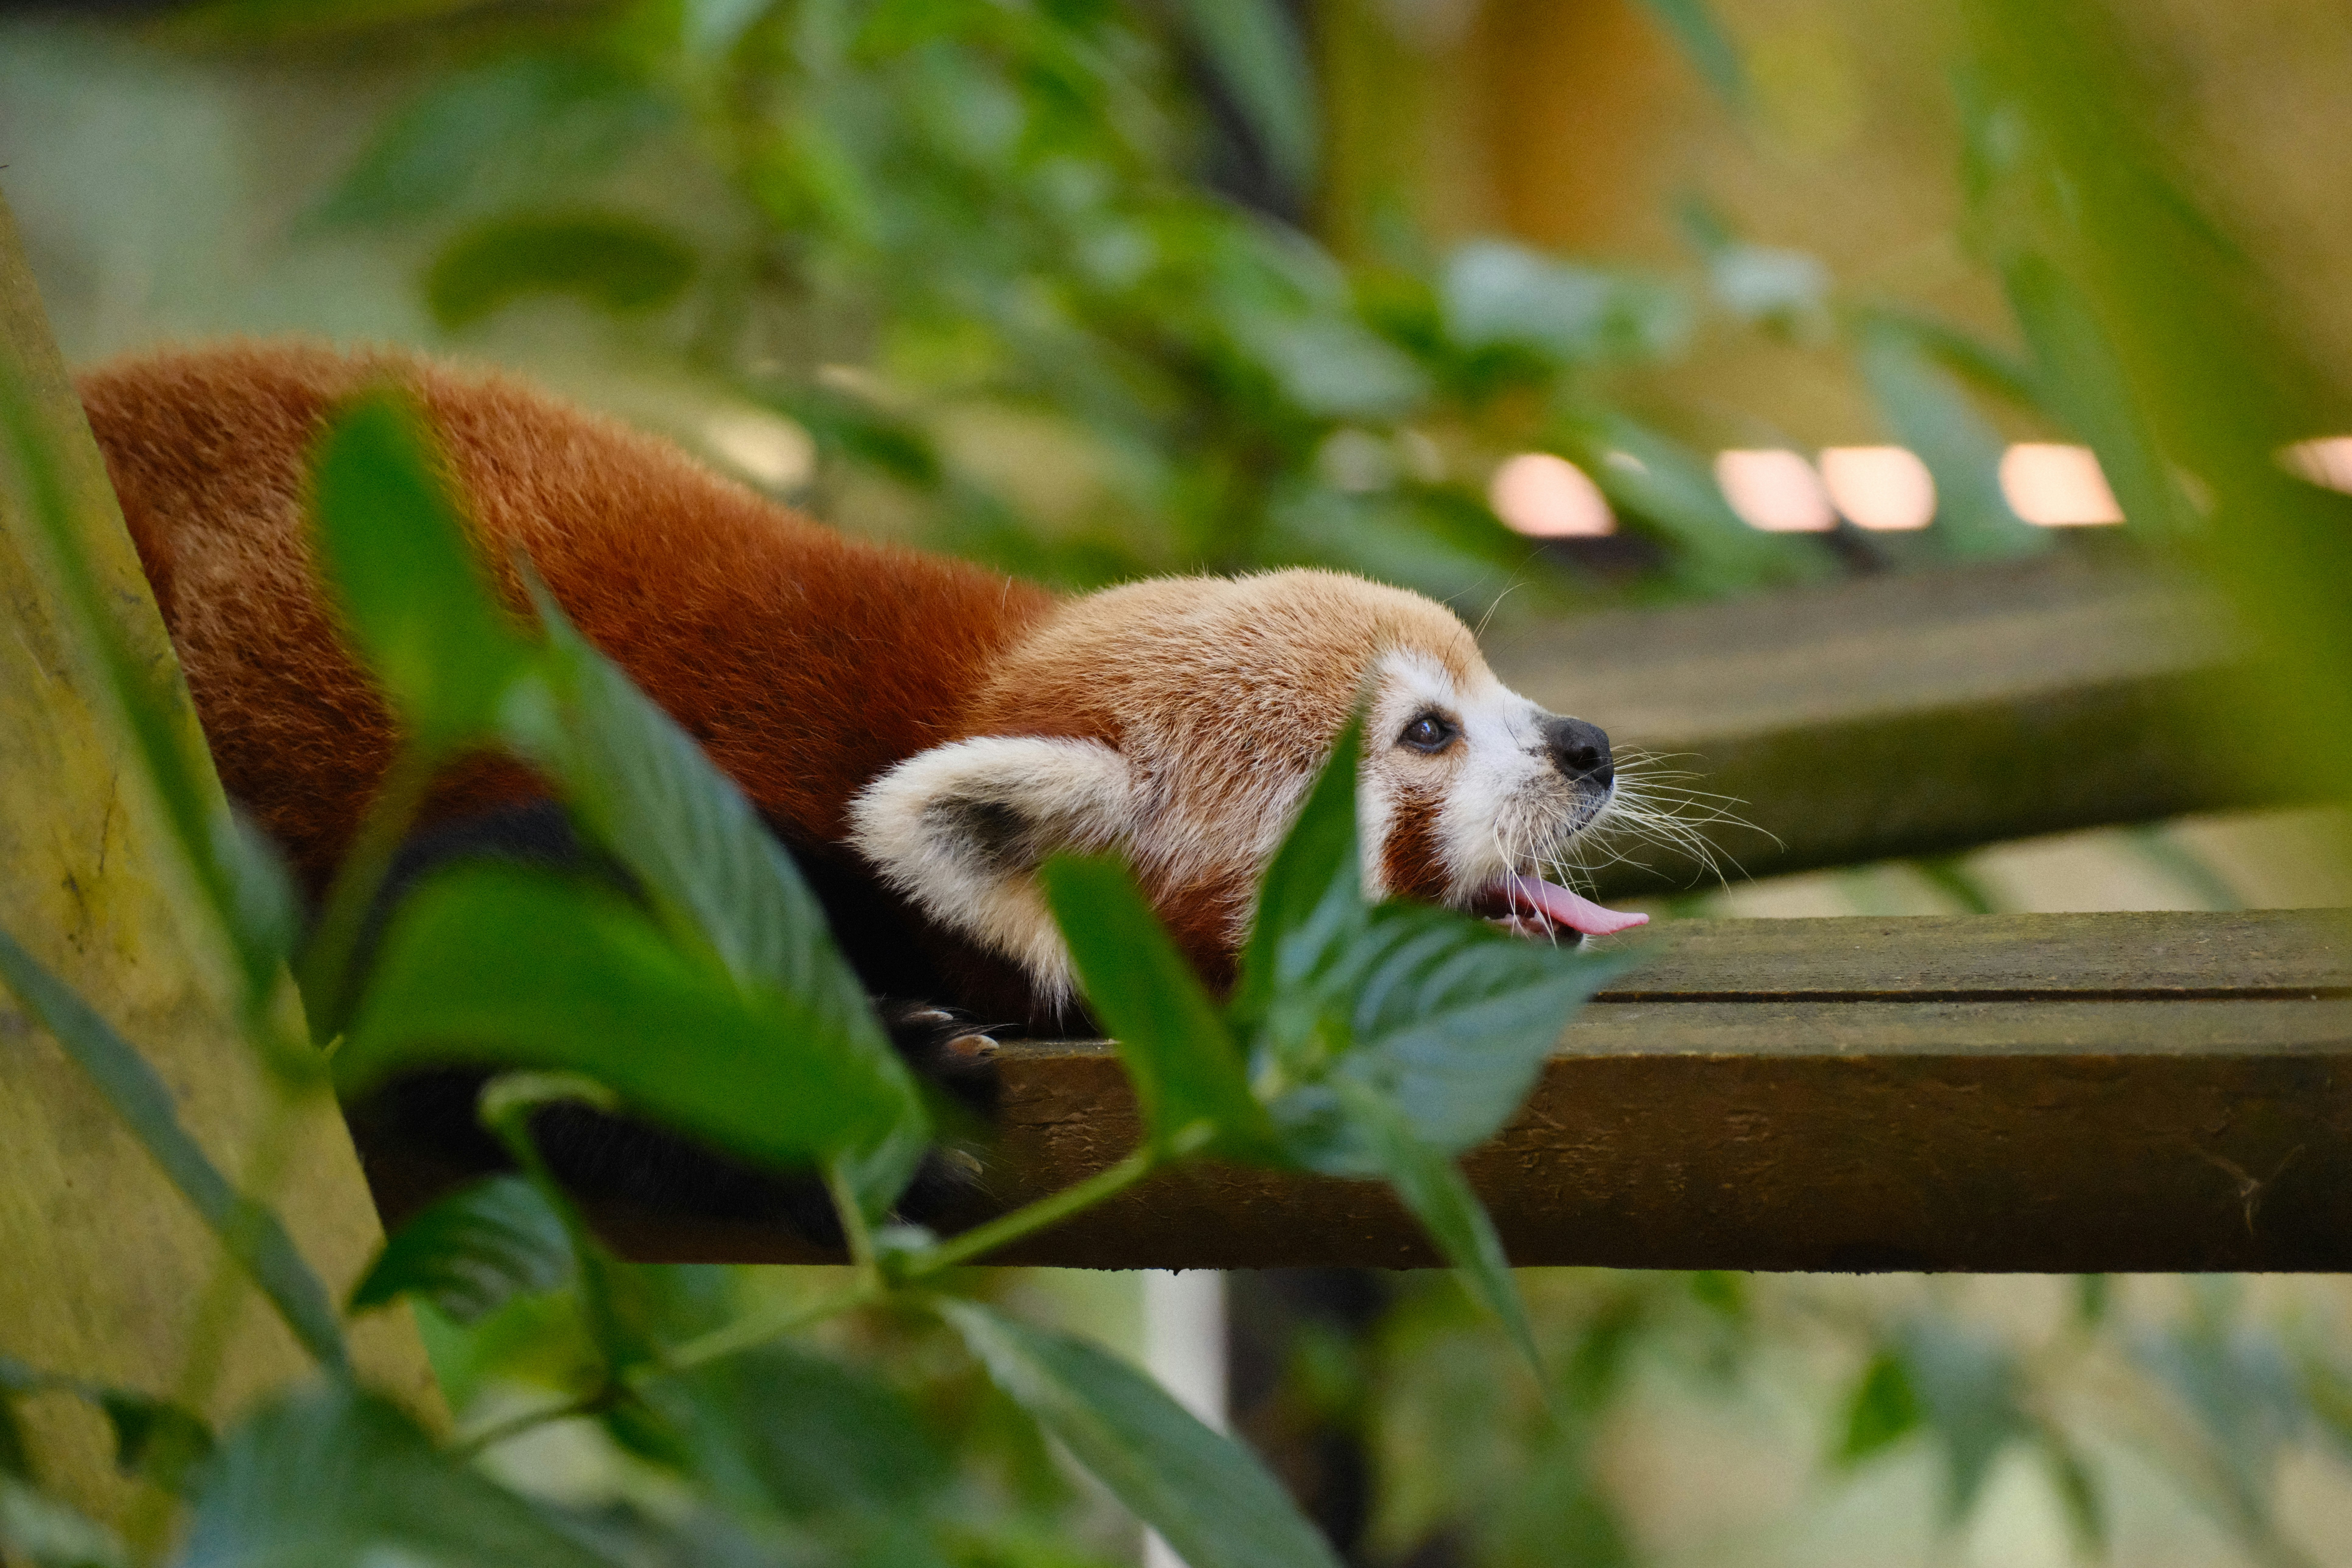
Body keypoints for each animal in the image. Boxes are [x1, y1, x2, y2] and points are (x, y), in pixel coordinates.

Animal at [78, 341, 1644, 1228]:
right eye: (1428, 735)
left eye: (1493, 693)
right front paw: (874, 1088)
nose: (1589, 746)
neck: (971, 687)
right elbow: (455, 973)